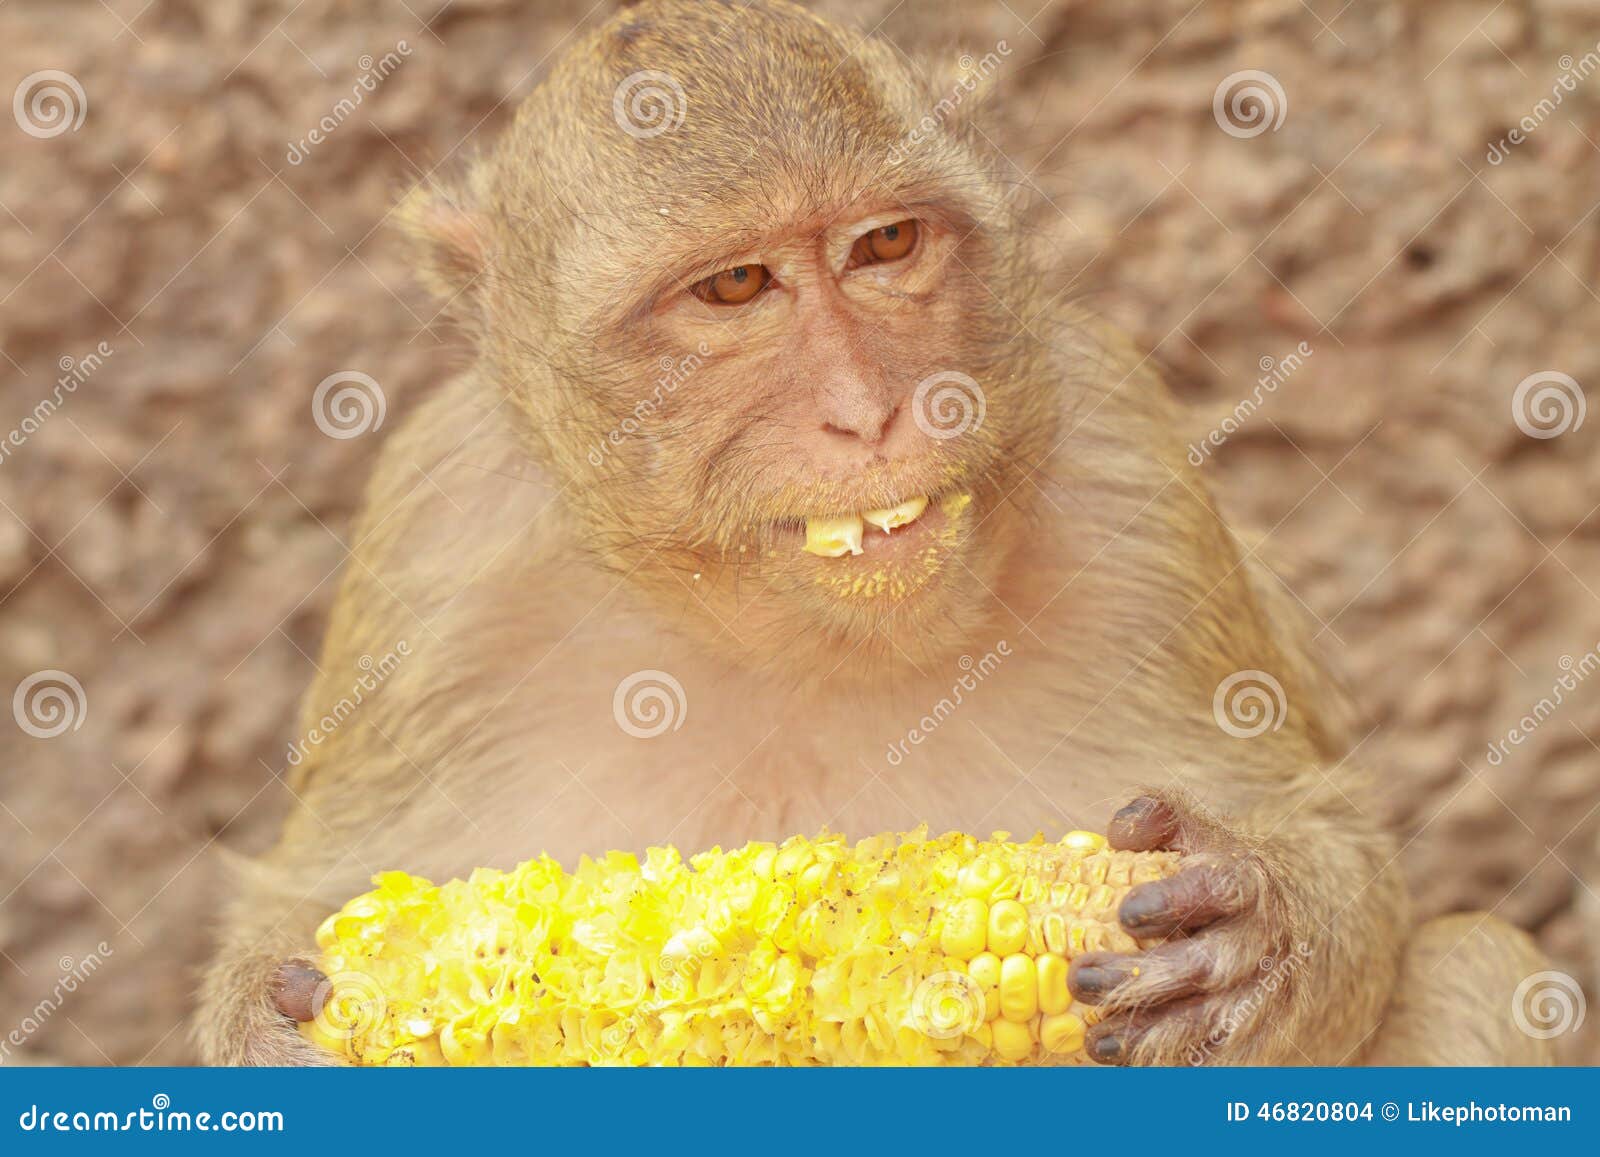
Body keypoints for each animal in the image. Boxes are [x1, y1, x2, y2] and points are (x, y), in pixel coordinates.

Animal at [196, 0, 1554, 1067]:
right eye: (735, 287)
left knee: (1485, 967)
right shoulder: (428, 542)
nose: (872, 408)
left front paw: (1257, 921)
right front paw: (267, 1022)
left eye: (886, 243)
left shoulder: (1125, 464)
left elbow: (1338, 845)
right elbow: (323, 887)